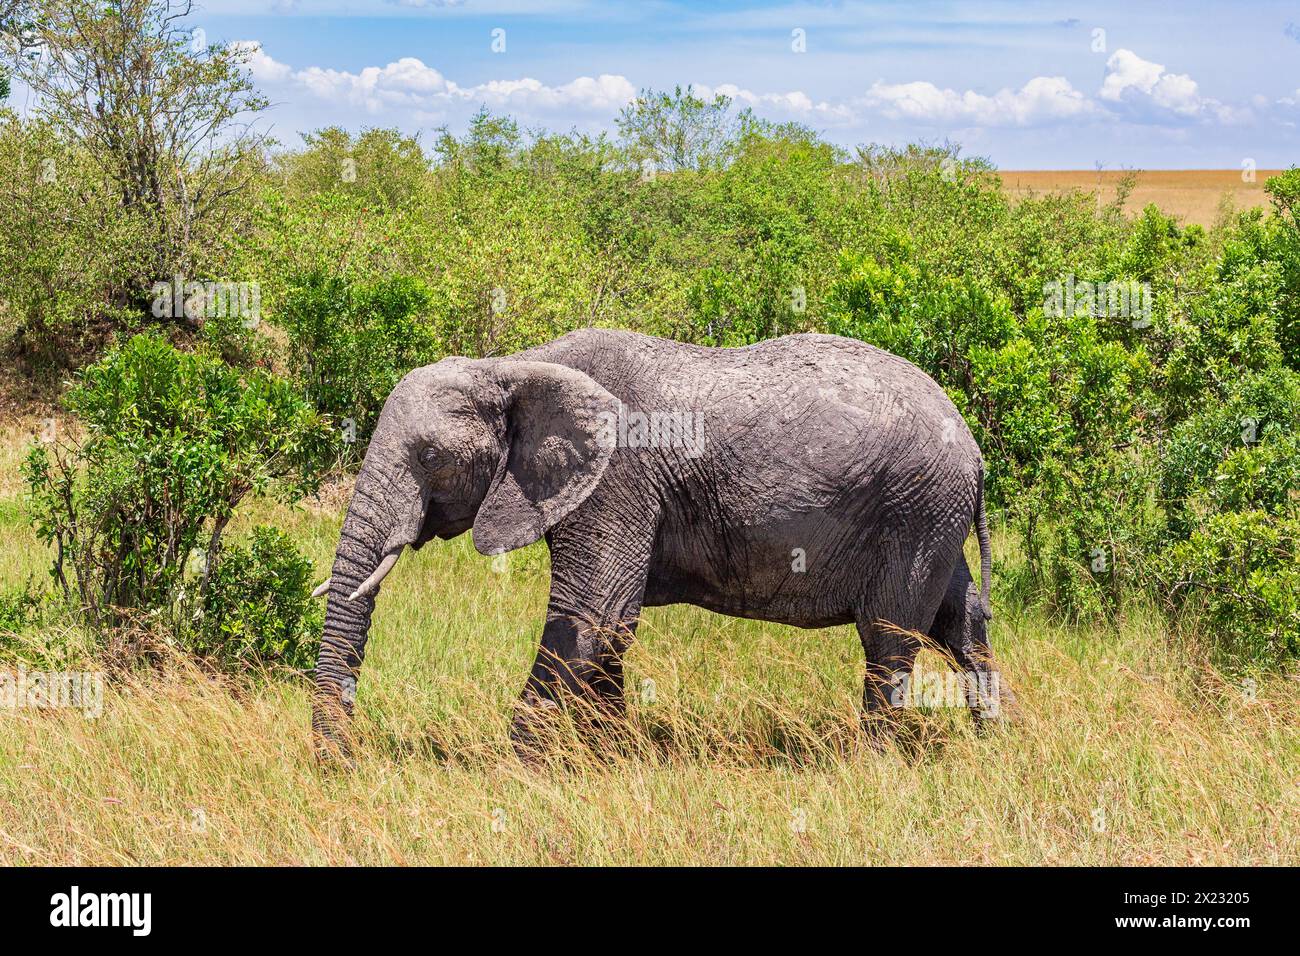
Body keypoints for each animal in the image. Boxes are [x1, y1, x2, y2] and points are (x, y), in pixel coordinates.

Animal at [310, 328, 1005, 762]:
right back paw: (991, 743)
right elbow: (609, 634)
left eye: (429, 457)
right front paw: (610, 760)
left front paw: (513, 778)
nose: (340, 762)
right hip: (932, 516)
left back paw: (872, 764)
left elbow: (589, 617)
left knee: (889, 637)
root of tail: (975, 455)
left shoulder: (617, 478)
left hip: (914, 510)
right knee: (961, 623)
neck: (515, 366)